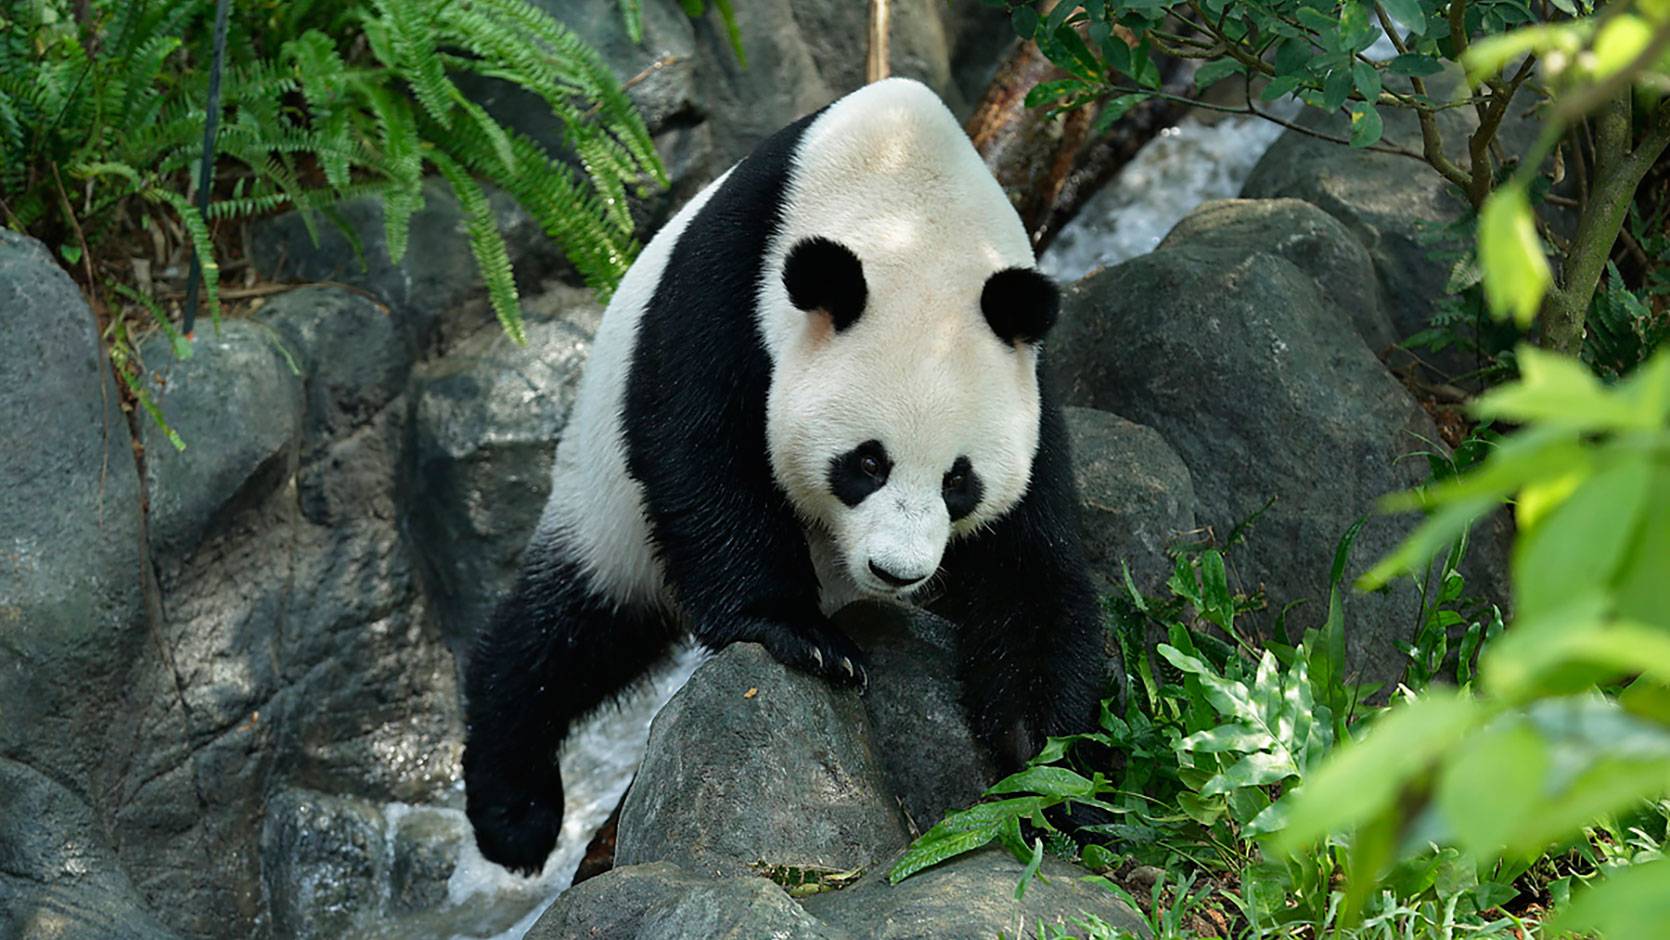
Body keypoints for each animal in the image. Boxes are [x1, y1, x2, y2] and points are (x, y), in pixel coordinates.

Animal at [462, 78, 1108, 874]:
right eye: (867, 463)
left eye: (959, 482)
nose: (895, 572)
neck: (907, 204)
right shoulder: (732, 281)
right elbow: (697, 446)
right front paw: (802, 637)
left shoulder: (1029, 385)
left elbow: (1032, 563)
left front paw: (1050, 764)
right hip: (605, 506)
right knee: (563, 637)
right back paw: (513, 811)